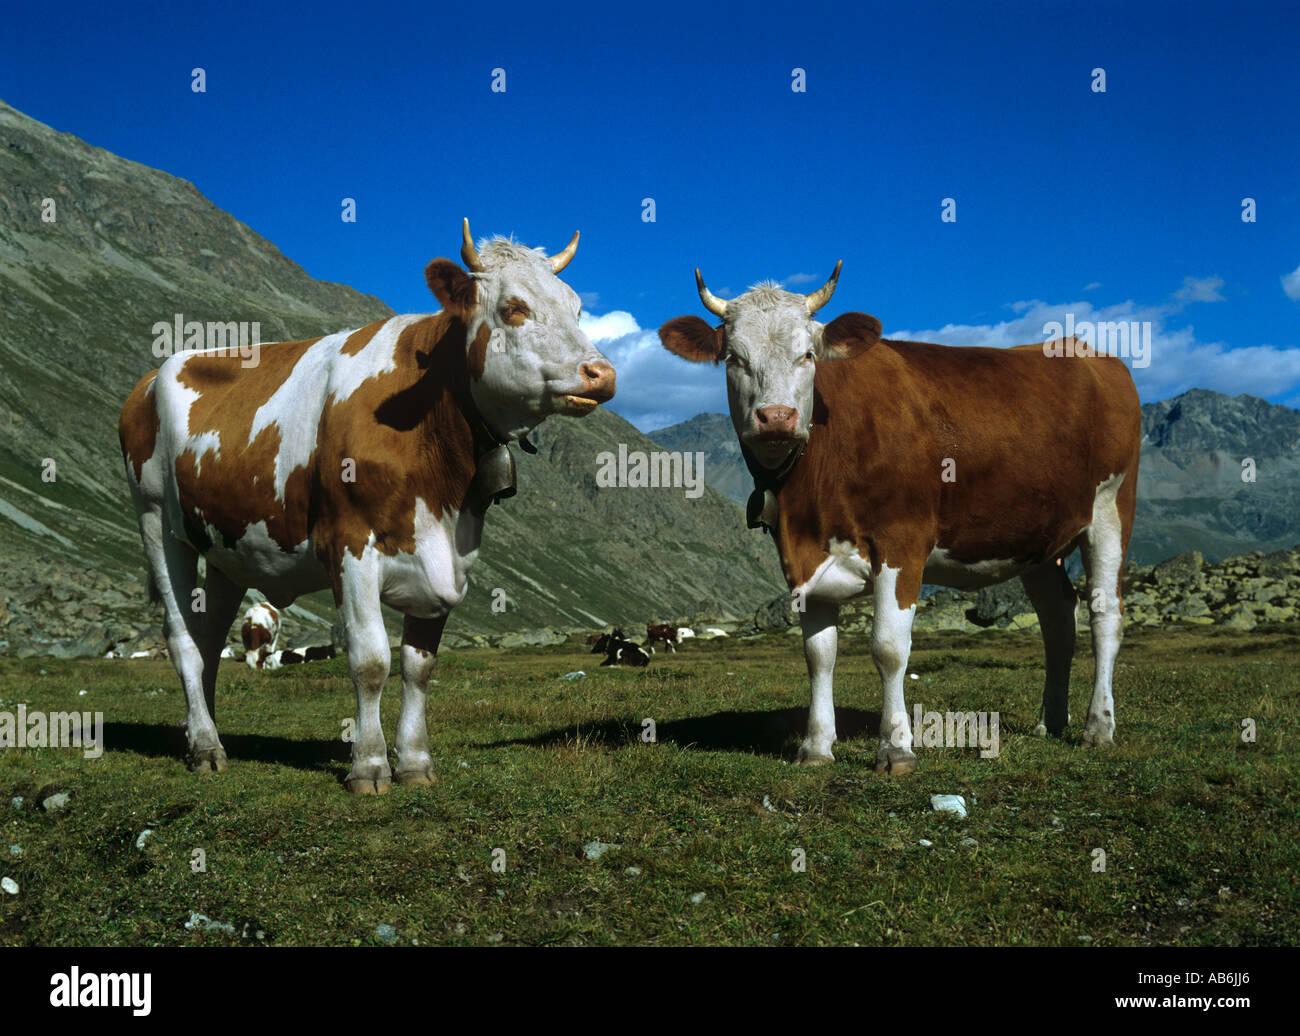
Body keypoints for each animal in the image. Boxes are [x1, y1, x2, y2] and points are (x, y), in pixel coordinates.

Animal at [119, 220, 615, 792]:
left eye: (577, 307)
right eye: (515, 307)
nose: (602, 373)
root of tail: (152, 376)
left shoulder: (449, 560)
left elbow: (419, 666)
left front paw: (416, 763)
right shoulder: (349, 544)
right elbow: (371, 659)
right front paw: (370, 766)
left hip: (228, 550)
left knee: (209, 642)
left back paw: (208, 735)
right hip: (157, 523)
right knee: (181, 638)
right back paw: (203, 748)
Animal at [659, 262, 1140, 773]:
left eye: (807, 355)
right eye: (734, 358)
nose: (776, 417)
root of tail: (1091, 353)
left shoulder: (902, 542)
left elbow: (888, 649)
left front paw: (896, 749)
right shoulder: (806, 559)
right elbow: (819, 654)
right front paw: (816, 746)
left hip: (1110, 508)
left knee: (1106, 616)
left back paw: (1098, 727)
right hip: (1037, 541)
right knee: (1058, 620)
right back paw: (1050, 721)